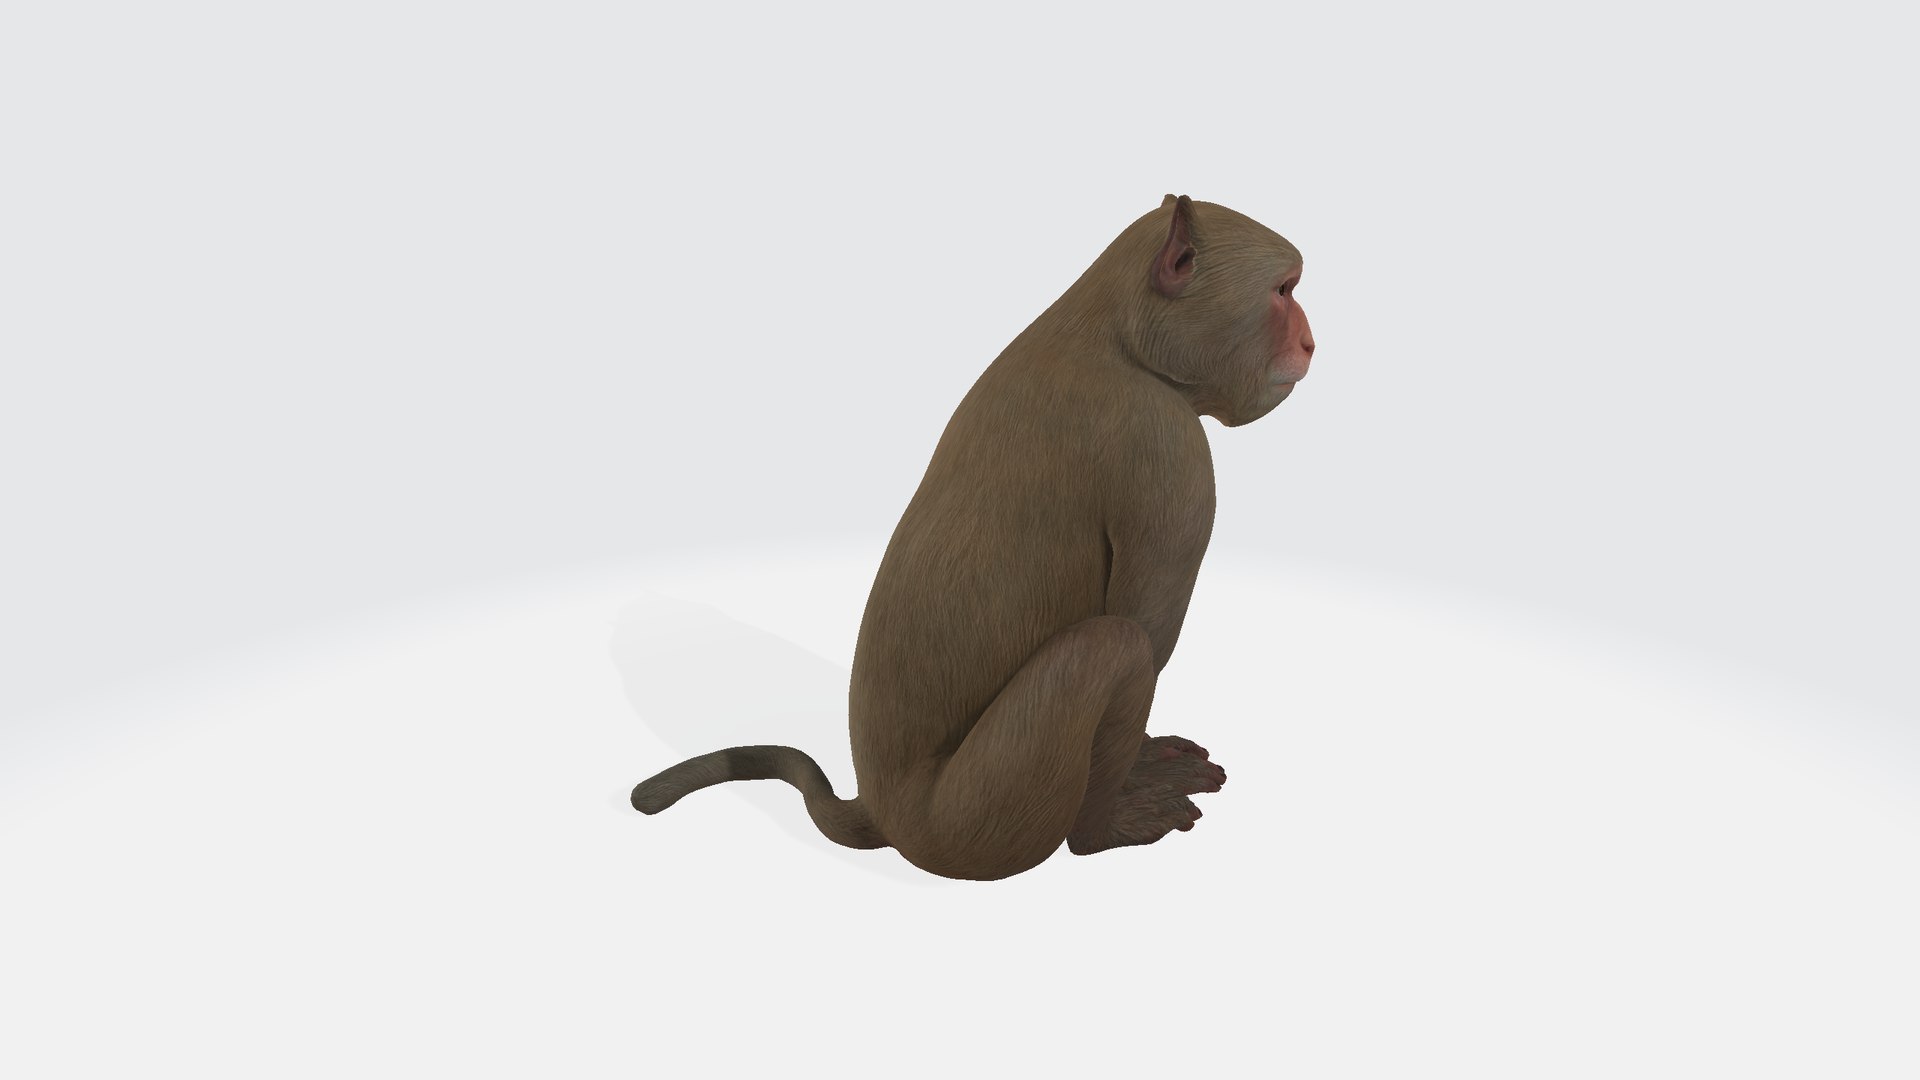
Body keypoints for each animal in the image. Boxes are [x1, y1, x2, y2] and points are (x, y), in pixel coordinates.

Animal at [632, 195, 1316, 881]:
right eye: (1284, 291)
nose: (1311, 342)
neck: (1113, 332)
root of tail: (886, 809)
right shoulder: (1167, 447)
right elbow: (1146, 630)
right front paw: (1118, 798)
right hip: (972, 821)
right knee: (1111, 647)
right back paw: (1094, 831)